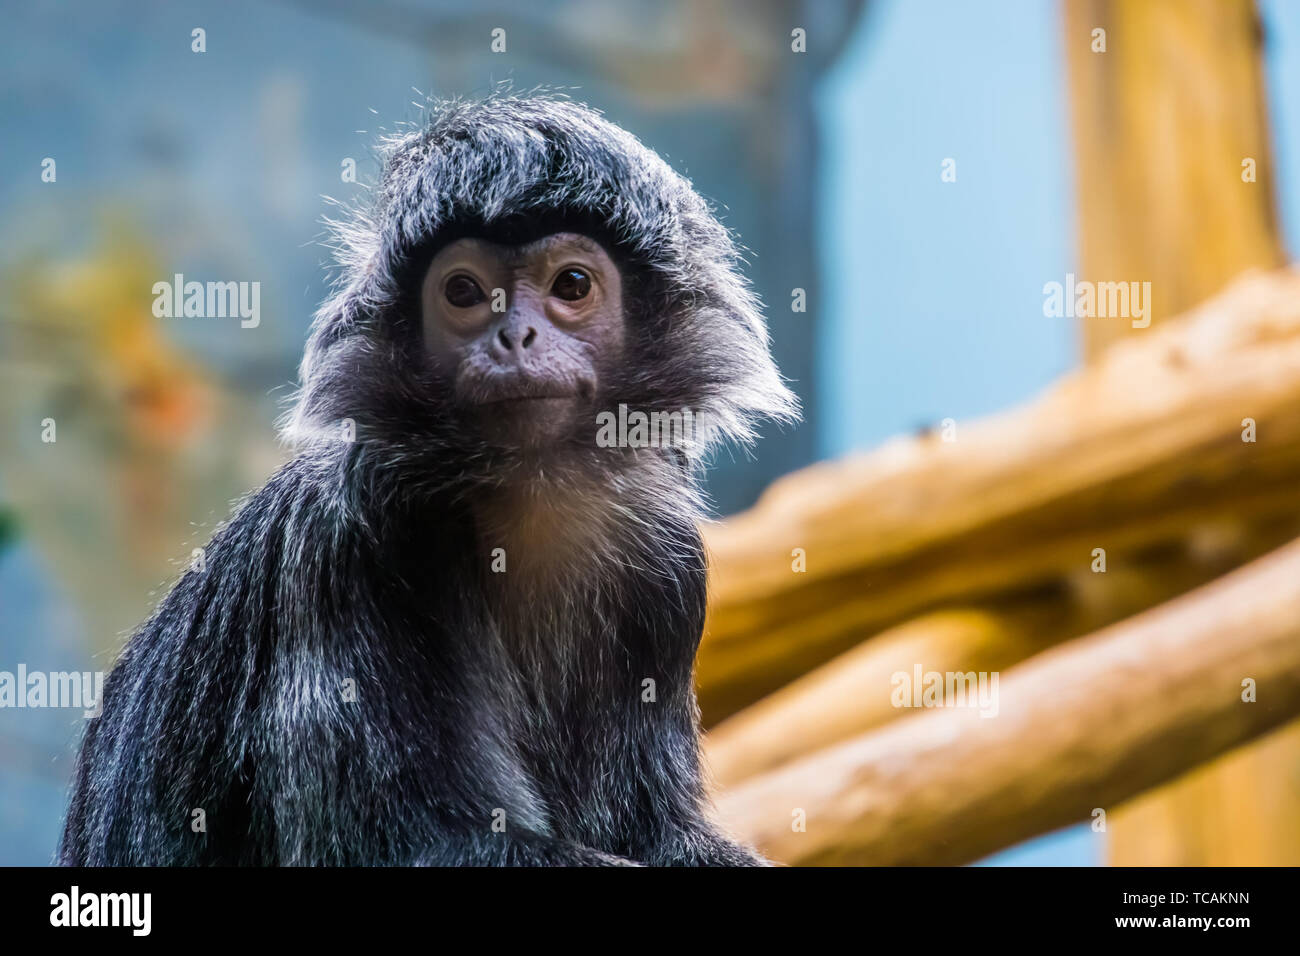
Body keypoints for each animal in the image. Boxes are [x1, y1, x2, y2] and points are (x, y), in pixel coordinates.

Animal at [59, 93, 798, 866]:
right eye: (464, 292)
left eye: (571, 285)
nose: (514, 337)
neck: (529, 495)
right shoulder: (353, 546)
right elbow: (421, 843)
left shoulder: (667, 571)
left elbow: (661, 836)